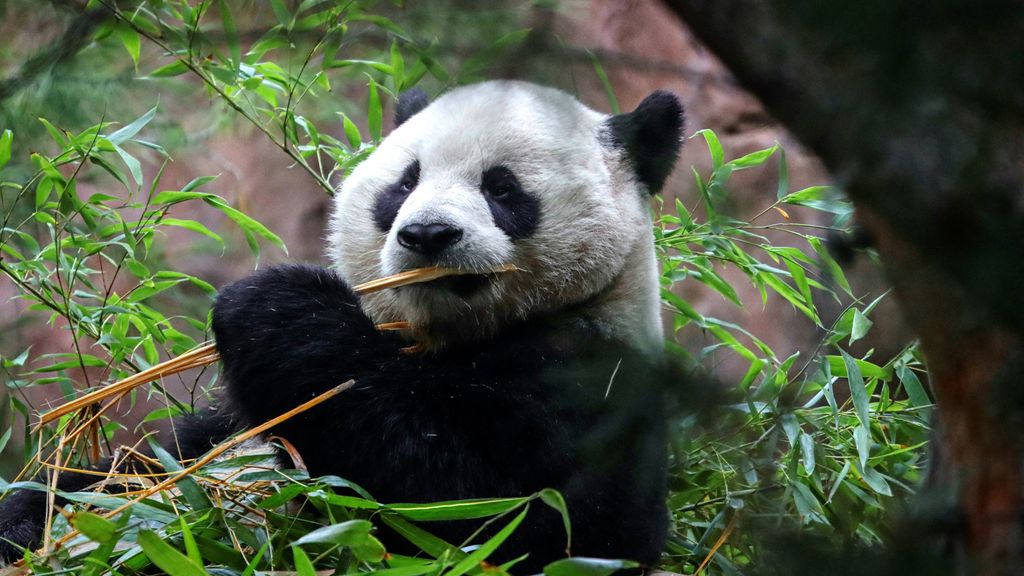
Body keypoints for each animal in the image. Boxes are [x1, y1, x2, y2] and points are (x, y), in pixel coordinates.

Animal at [0, 80, 684, 571]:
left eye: (502, 188)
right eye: (404, 183)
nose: (427, 234)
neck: (445, 336)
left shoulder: (589, 385)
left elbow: (468, 510)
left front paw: (274, 303)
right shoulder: (221, 430)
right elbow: (139, 468)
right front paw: (29, 518)